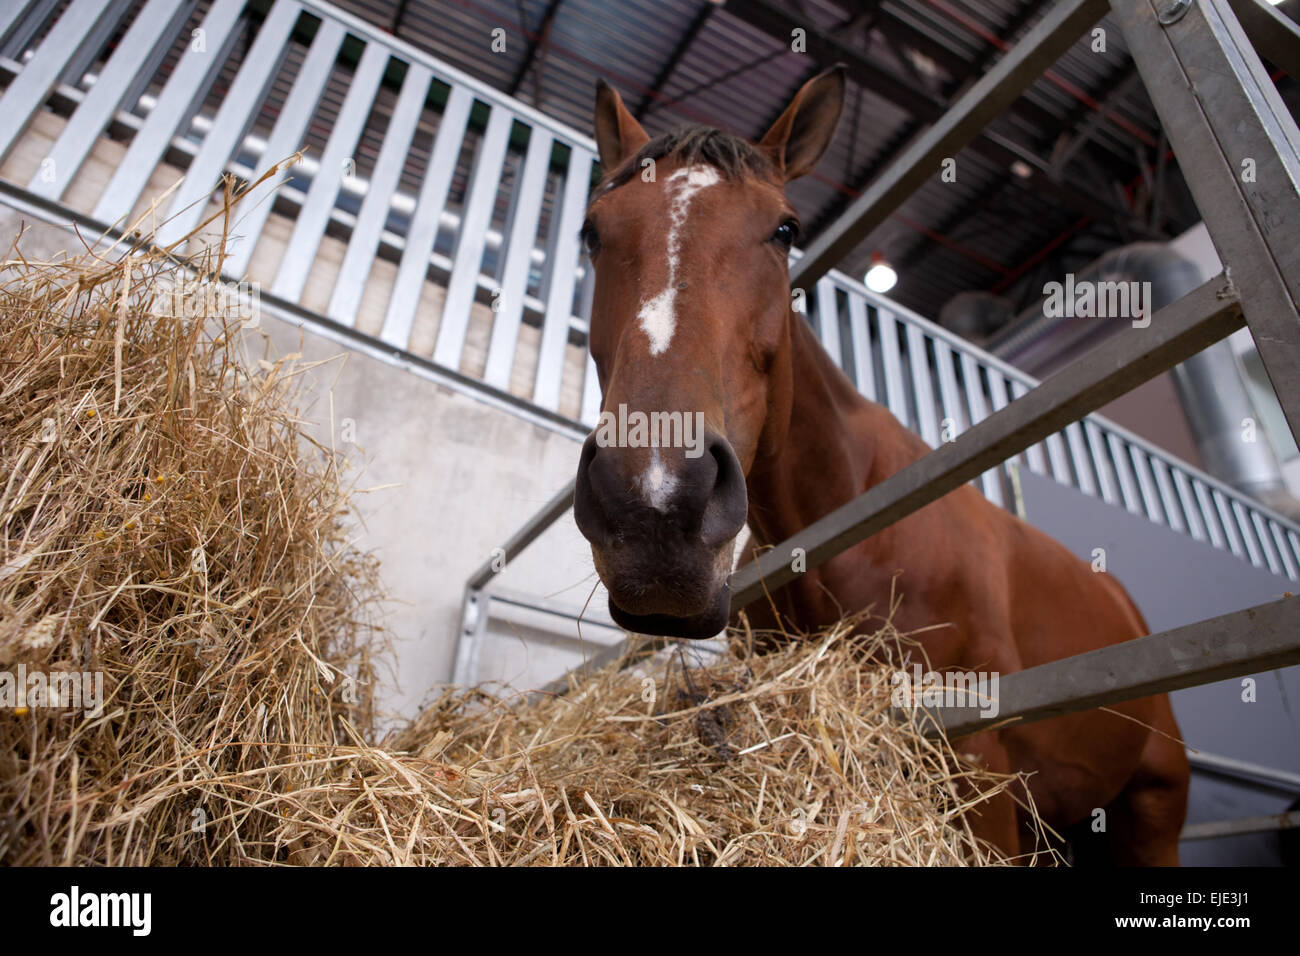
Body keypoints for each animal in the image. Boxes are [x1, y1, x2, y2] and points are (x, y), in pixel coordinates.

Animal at [571, 66, 1189, 865]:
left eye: (786, 230)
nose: (655, 501)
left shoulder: (976, 761)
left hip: (1154, 805)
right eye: (592, 231)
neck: (847, 518)